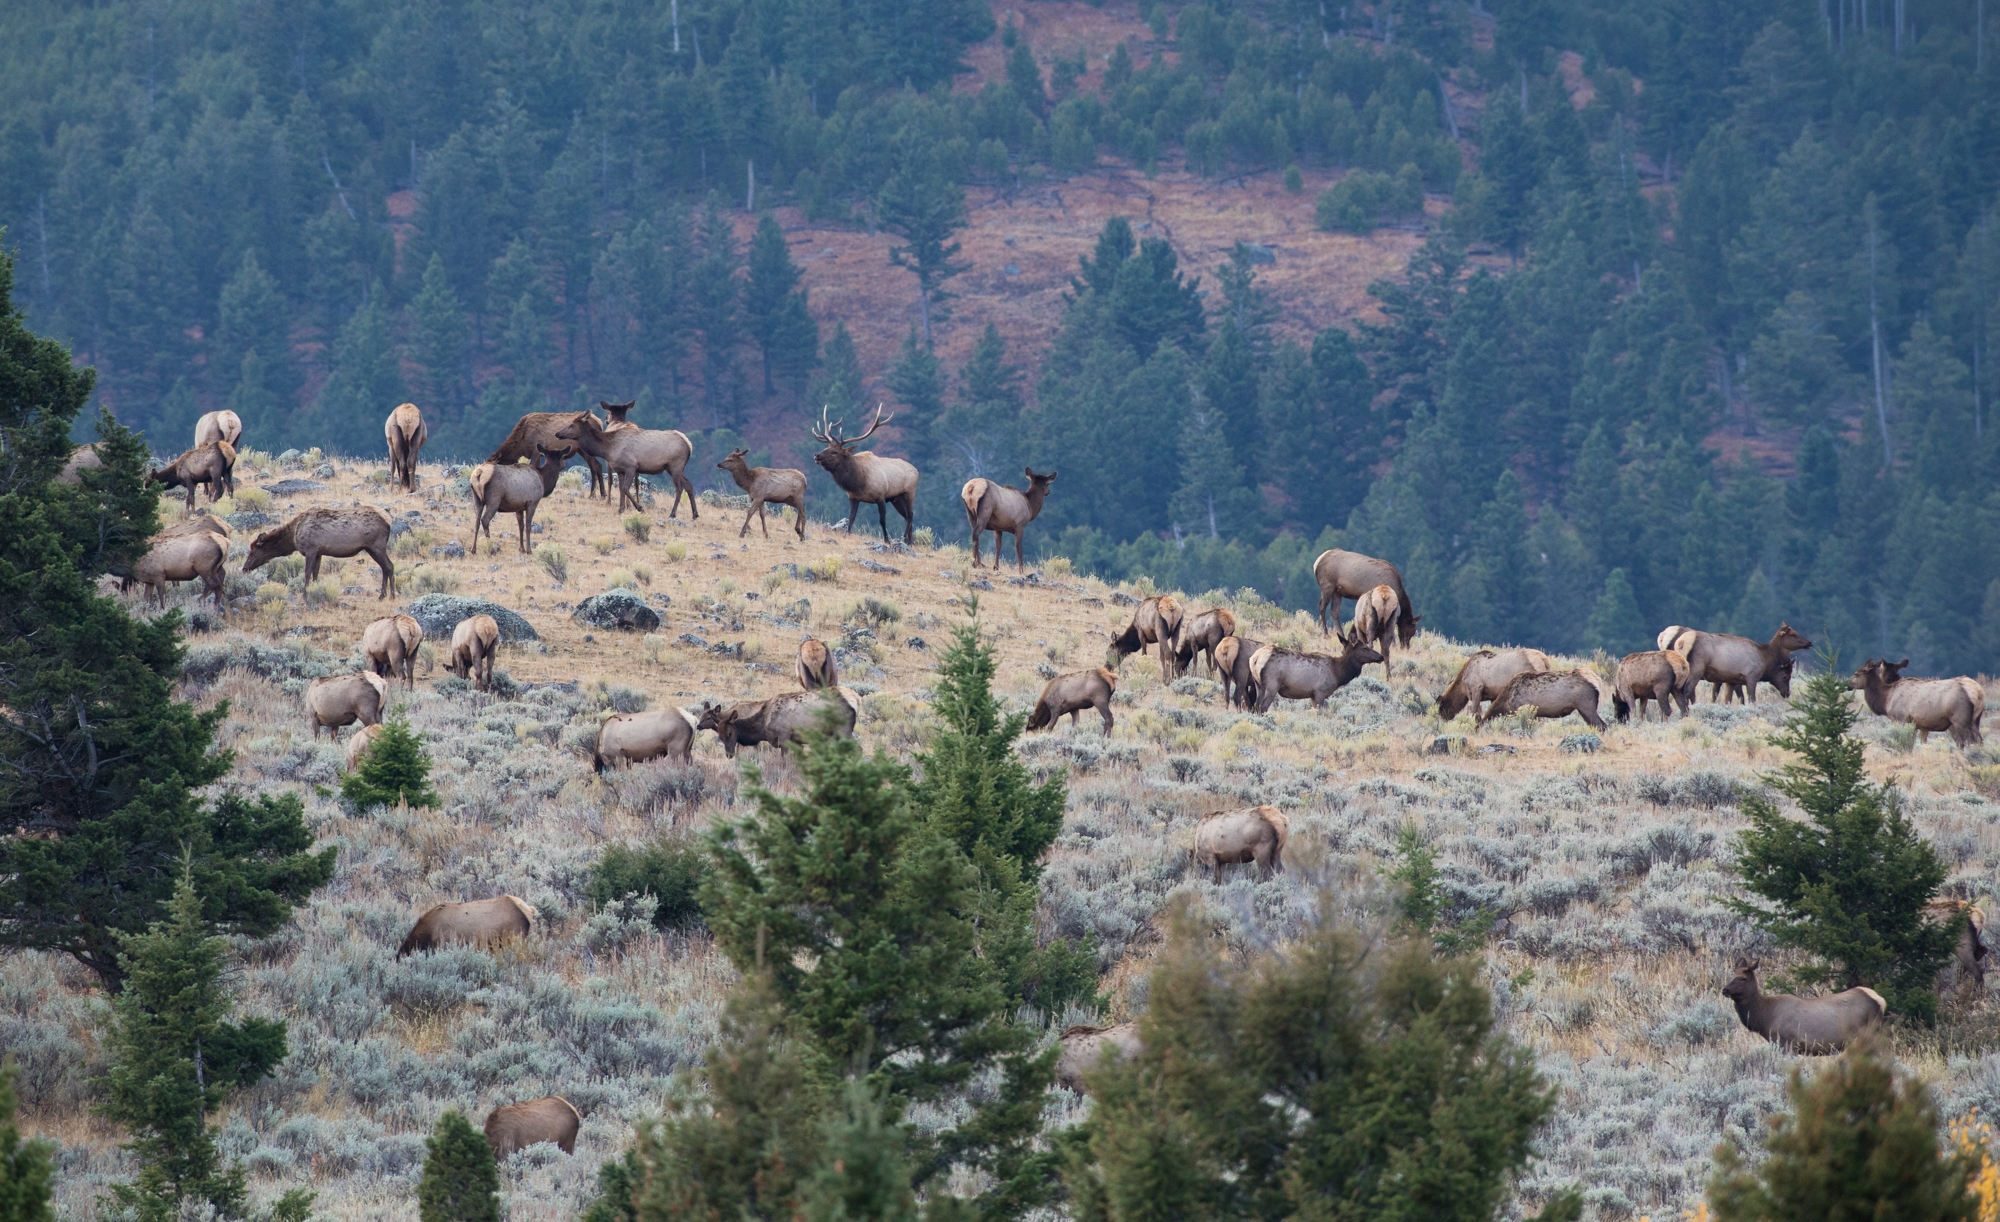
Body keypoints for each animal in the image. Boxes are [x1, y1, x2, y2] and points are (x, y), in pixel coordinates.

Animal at [810, 406, 918, 545]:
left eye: (834, 452)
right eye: (826, 447)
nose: (816, 455)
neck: (858, 483)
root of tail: (916, 470)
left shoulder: (881, 496)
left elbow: (882, 520)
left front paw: (887, 540)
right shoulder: (853, 497)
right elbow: (851, 518)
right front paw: (847, 535)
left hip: (909, 493)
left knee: (910, 515)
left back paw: (905, 538)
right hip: (896, 498)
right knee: (907, 516)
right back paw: (910, 541)